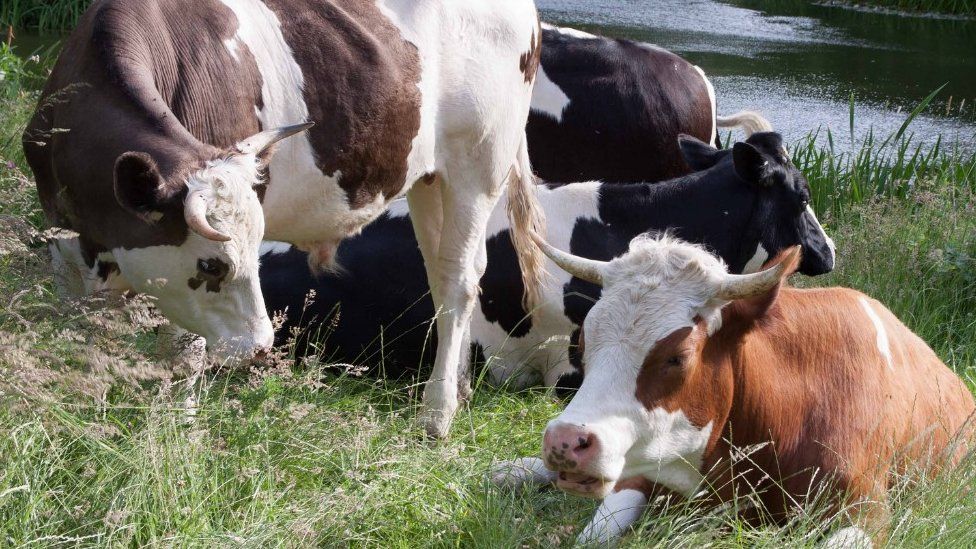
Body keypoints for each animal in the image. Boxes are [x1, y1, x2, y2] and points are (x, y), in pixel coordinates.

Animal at [23, 0, 546, 438]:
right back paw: (458, 387)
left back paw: (436, 414)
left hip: (478, 168)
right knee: (442, 274)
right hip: (429, 180)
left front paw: (178, 431)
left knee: (459, 281)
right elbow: (73, 340)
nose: (259, 347)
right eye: (213, 265)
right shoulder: (63, 245)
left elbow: (183, 350)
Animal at [492, 237, 975, 546]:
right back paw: (513, 469)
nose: (564, 440)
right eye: (582, 342)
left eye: (677, 356)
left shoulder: (867, 509)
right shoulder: (638, 475)